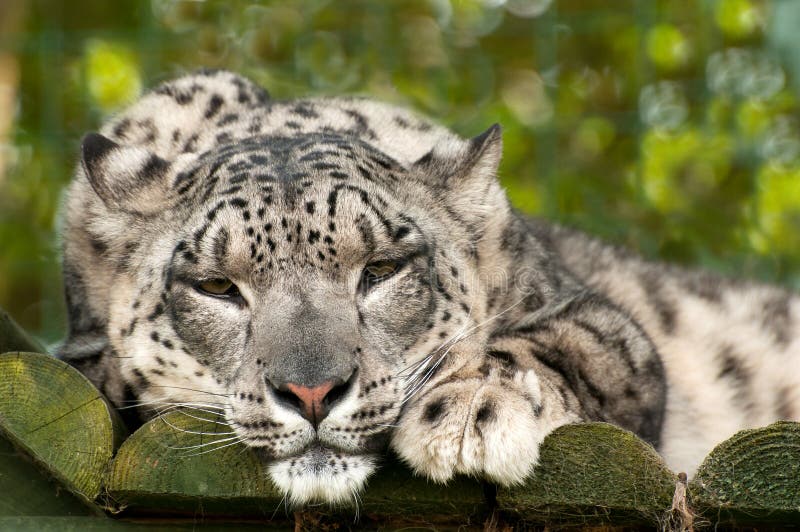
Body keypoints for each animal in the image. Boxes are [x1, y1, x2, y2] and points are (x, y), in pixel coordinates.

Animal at [58, 69, 800, 506]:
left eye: (382, 269)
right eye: (216, 285)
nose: (312, 392)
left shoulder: (604, 325)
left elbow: (560, 347)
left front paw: (472, 410)